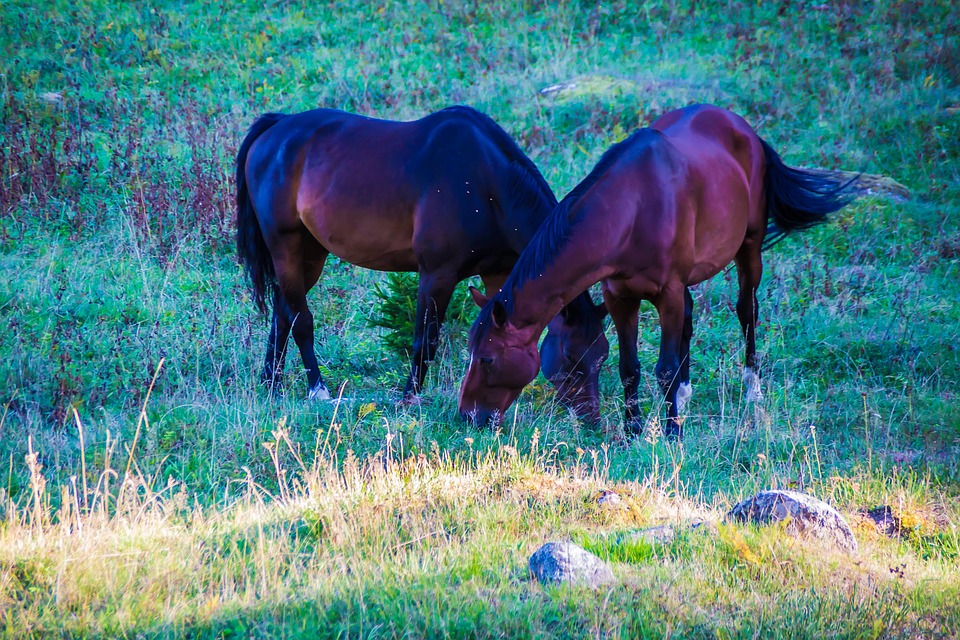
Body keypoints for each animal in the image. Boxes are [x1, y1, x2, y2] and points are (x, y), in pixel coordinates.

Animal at [235, 105, 606, 410]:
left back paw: (272, 384)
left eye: (601, 354)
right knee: (300, 318)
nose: (587, 415)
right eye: (570, 355)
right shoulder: (437, 275)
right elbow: (425, 341)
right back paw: (317, 389)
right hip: (286, 248)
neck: (486, 185)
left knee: (282, 313)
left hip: (311, 255)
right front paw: (409, 398)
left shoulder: (498, 275)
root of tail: (275, 127)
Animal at [459, 104, 855, 437]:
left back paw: (751, 390)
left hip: (749, 247)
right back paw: (685, 393)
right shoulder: (620, 298)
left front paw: (672, 432)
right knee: (691, 319)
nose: (468, 415)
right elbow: (629, 367)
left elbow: (663, 368)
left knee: (747, 311)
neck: (631, 211)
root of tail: (744, 129)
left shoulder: (668, 295)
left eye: (488, 358)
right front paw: (633, 429)